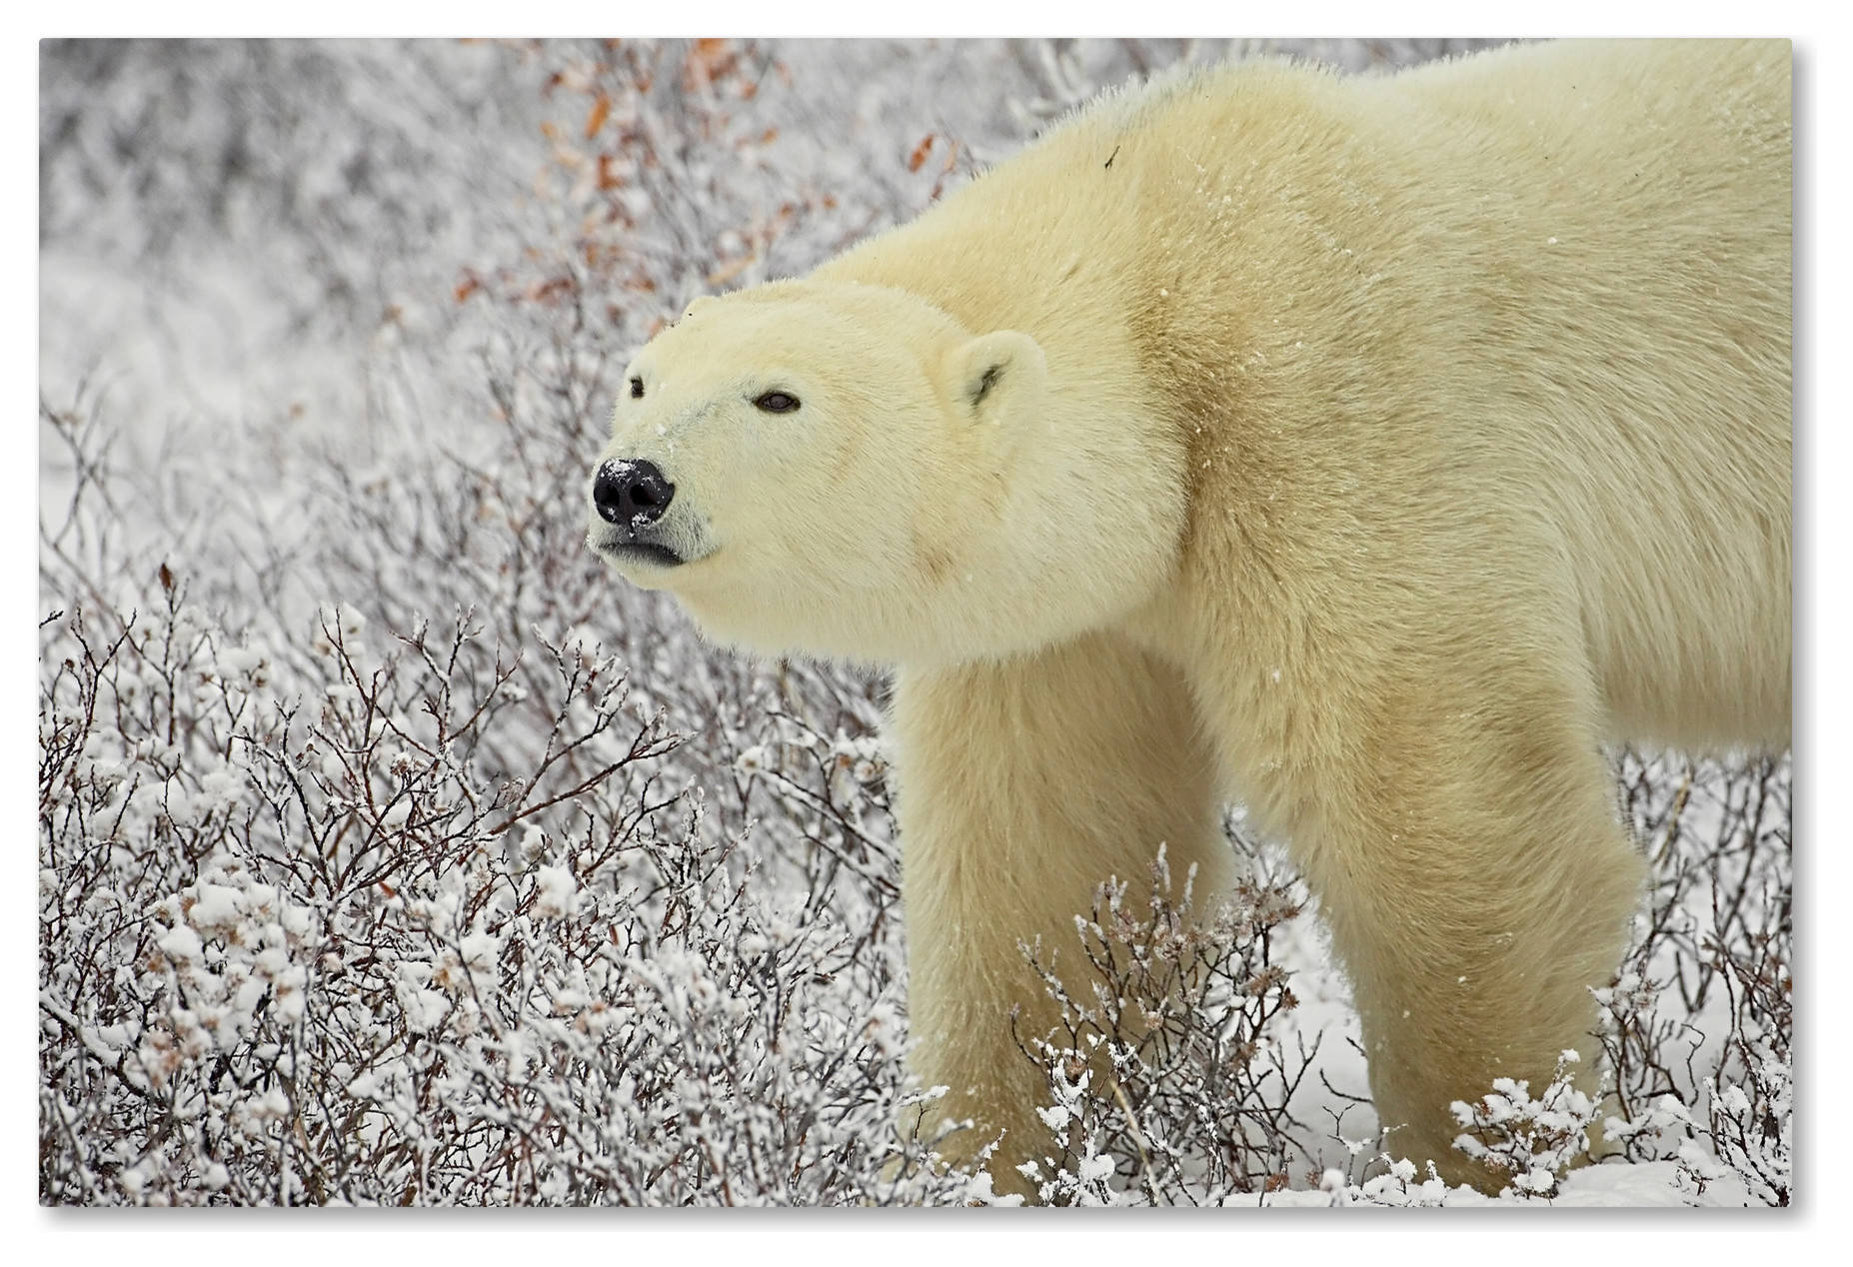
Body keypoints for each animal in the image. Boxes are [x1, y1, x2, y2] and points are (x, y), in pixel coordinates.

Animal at [585, 38, 1791, 1197]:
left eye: (776, 397)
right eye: (639, 380)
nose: (629, 484)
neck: (1158, 242)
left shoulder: (1335, 407)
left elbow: (1433, 797)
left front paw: (1489, 1149)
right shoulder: (1080, 616)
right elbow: (1048, 852)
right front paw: (981, 1161)